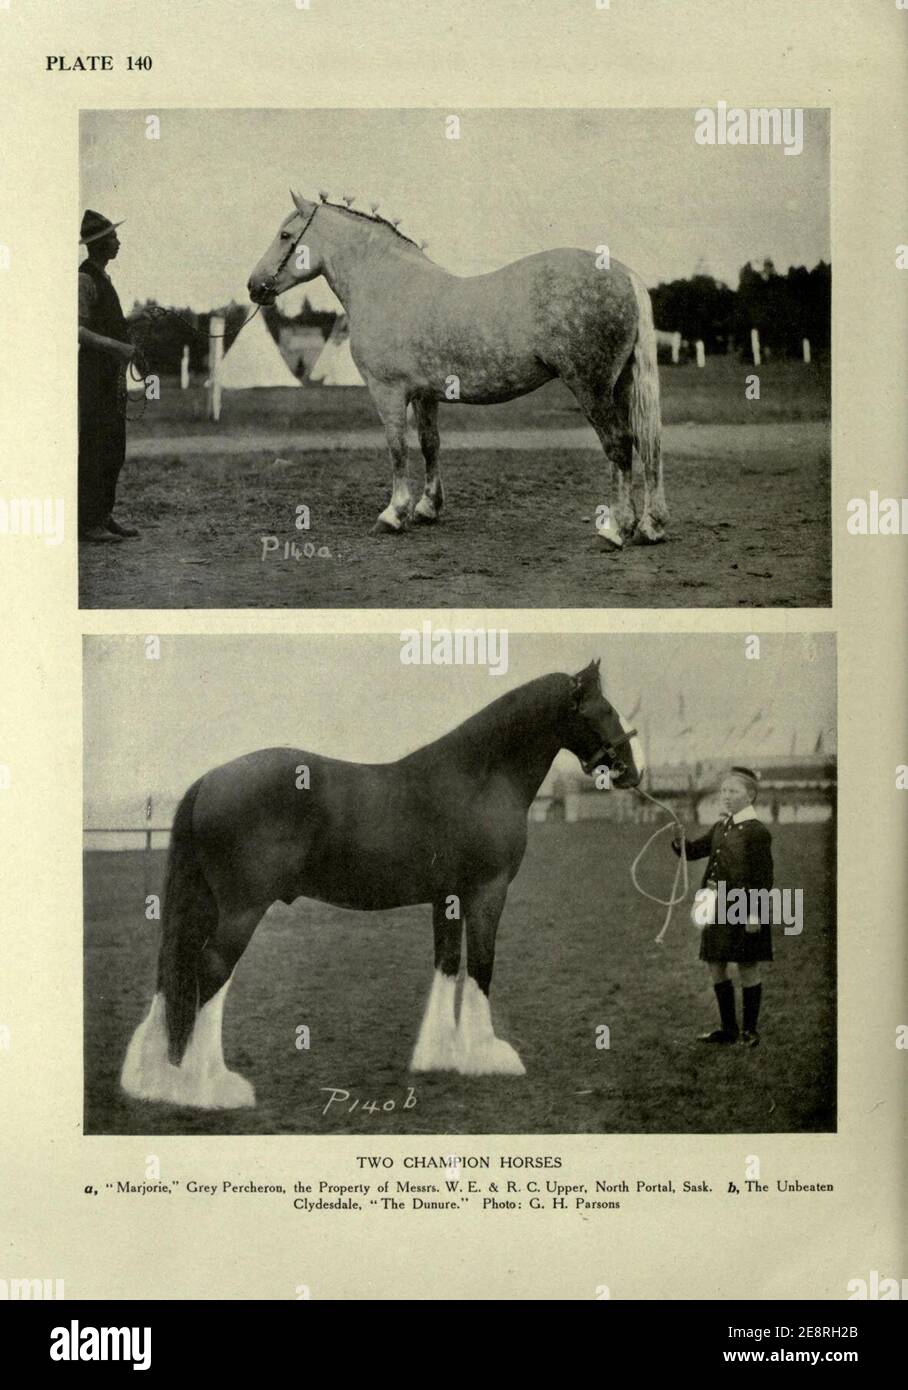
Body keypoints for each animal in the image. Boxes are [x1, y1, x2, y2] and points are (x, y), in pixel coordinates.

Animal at [120, 660, 643, 1109]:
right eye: (605, 711)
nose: (632, 773)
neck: (480, 776)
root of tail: (209, 780)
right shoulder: (487, 893)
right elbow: (482, 967)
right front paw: (487, 1055)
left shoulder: (448, 899)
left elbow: (447, 964)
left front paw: (439, 1056)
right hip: (240, 911)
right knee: (209, 973)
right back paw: (207, 1086)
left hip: (203, 905)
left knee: (176, 974)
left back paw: (158, 1079)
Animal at [247, 191, 667, 550]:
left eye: (285, 235)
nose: (254, 287)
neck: (388, 286)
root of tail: (624, 274)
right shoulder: (424, 394)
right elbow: (430, 444)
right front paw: (427, 508)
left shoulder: (388, 392)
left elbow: (397, 448)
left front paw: (393, 513)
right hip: (620, 385)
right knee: (642, 444)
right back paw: (648, 525)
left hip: (591, 386)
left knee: (618, 445)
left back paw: (615, 530)